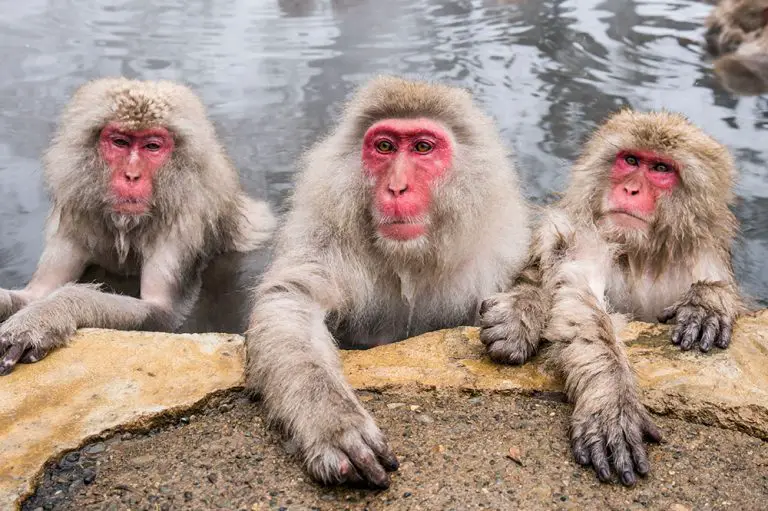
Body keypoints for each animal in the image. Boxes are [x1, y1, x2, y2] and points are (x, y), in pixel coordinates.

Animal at [0, 78, 276, 375]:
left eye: (152, 146)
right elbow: (35, 293)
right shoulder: (76, 220)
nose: (131, 176)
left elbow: (162, 313)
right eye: (120, 142)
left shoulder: (181, 227)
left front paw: (46, 315)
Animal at [245, 75, 531, 488]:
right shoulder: (326, 238)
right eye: (384, 147)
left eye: (423, 147)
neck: (408, 260)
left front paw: (520, 317)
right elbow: (292, 299)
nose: (396, 188)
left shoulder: (499, 251)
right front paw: (333, 421)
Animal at [480, 110, 744, 486]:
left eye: (660, 168)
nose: (630, 189)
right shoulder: (587, 235)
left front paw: (707, 303)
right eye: (630, 160)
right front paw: (613, 401)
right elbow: (580, 299)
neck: (640, 255)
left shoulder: (702, 251)